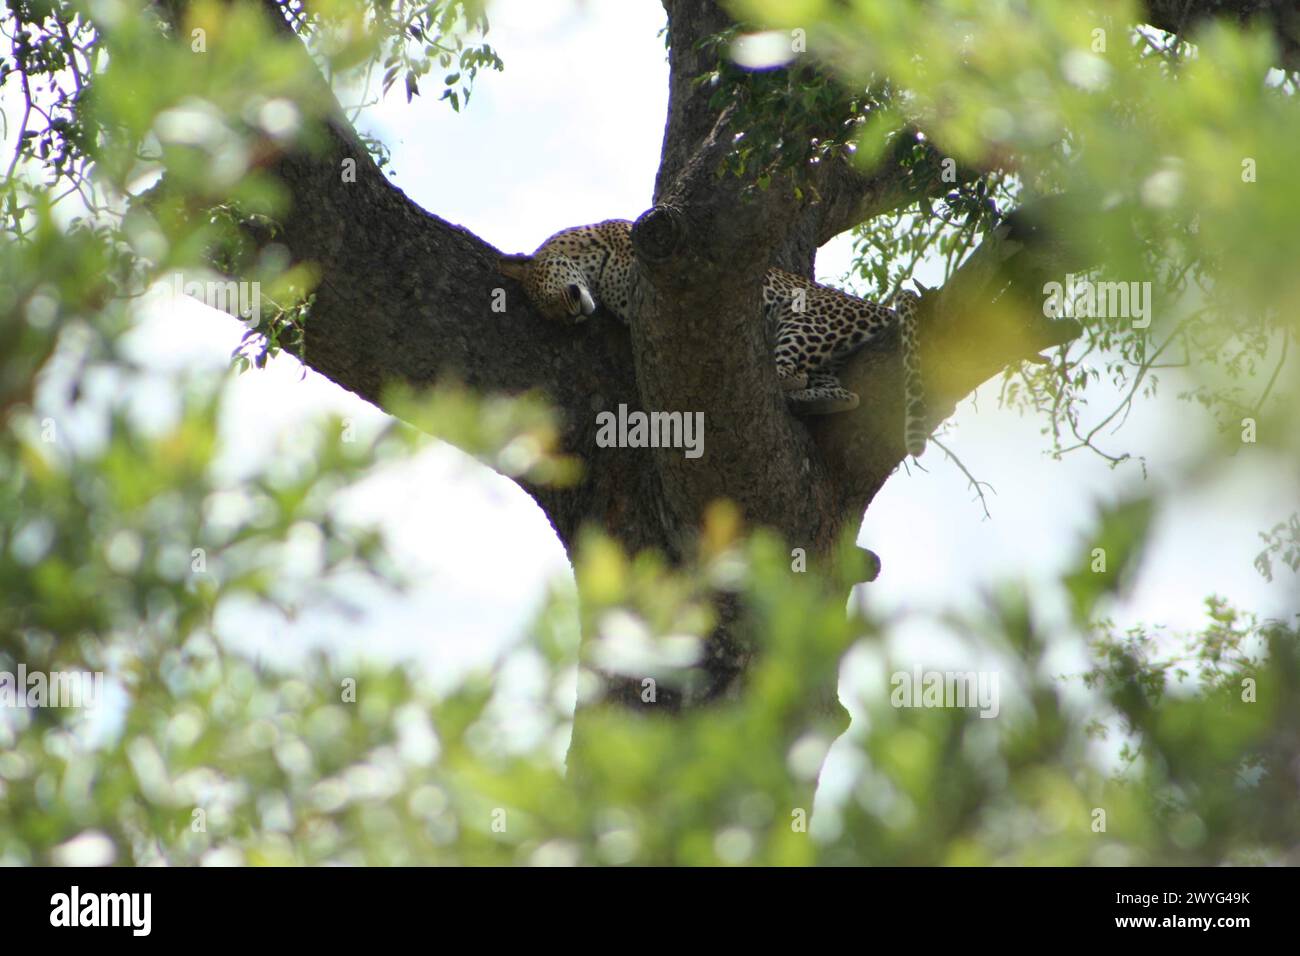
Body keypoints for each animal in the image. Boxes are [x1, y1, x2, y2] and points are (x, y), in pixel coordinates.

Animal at [499, 219, 928, 457]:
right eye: (550, 314)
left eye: (548, 296)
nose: (572, 316)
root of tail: (880, 308)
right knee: (840, 392)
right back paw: (817, 402)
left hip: (803, 313)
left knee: (788, 371)